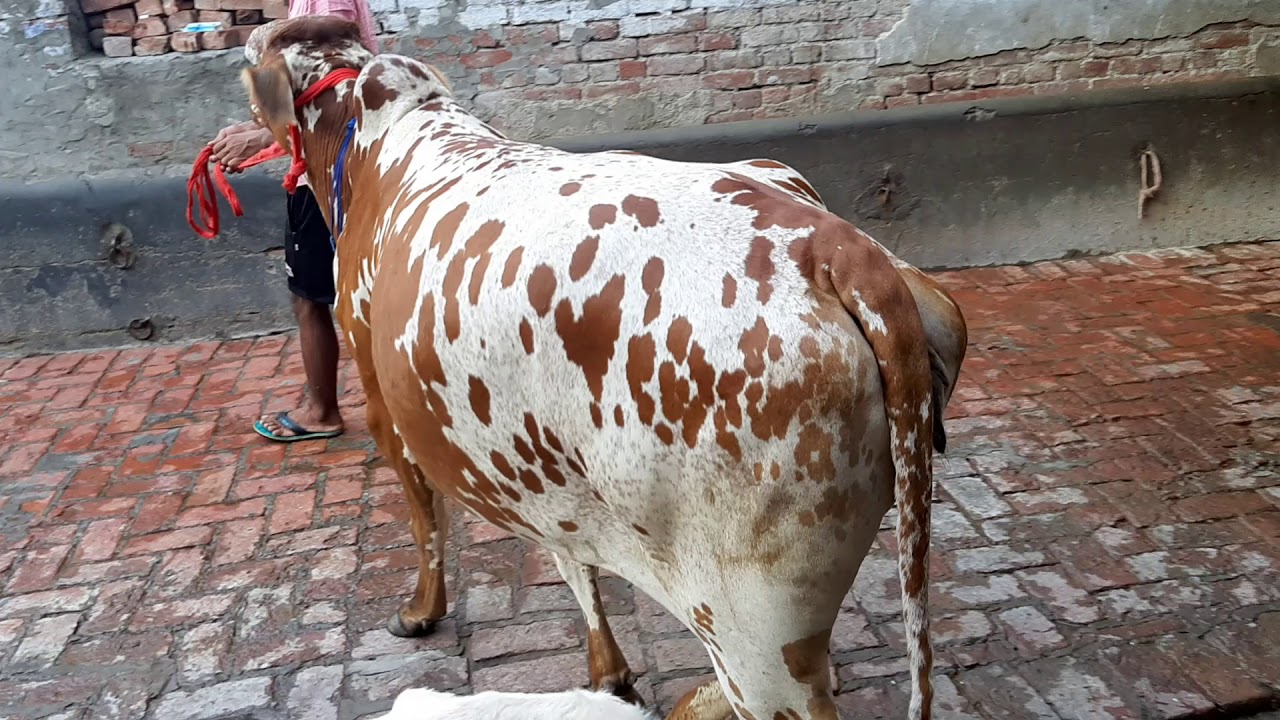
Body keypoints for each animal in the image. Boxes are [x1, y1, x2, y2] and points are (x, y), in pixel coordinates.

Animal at [239, 16, 967, 720]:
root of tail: (838, 251)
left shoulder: (386, 409)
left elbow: (427, 524)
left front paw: (421, 611)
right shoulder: (543, 473)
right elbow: (574, 566)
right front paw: (609, 674)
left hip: (751, 631)